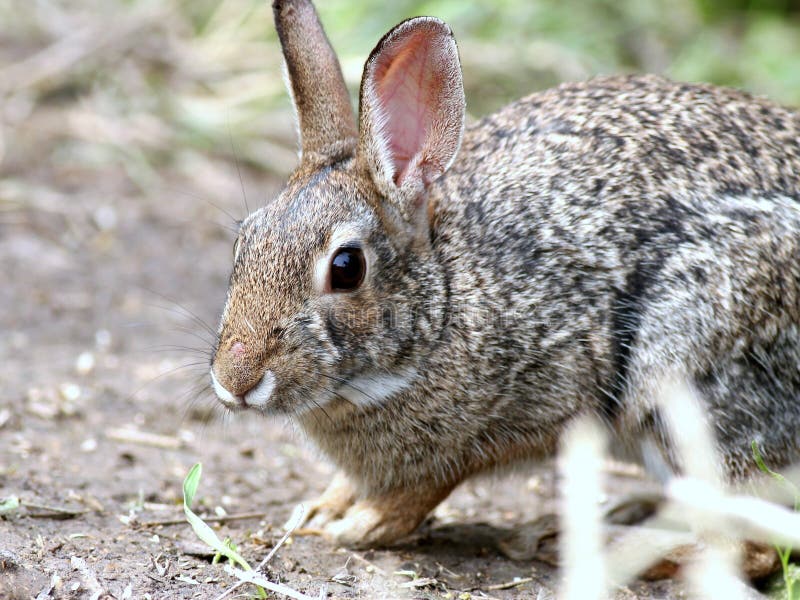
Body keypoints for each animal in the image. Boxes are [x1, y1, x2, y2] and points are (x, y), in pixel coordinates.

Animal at [209, 0, 800, 548]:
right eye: (243, 241)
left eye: (346, 268)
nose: (235, 381)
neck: (447, 298)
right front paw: (322, 508)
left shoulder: (552, 396)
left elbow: (439, 479)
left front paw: (365, 524)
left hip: (684, 374)